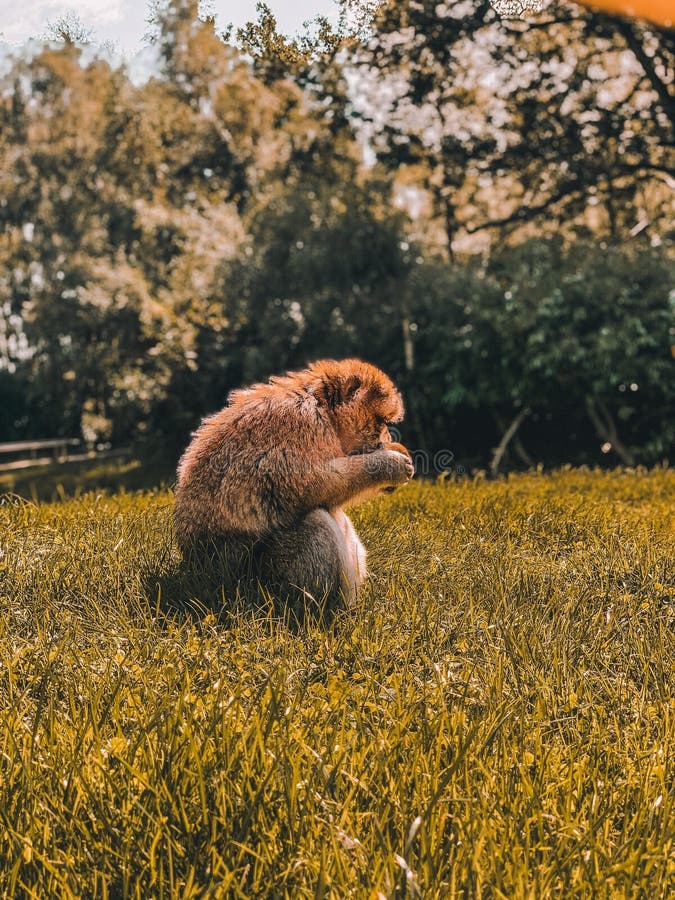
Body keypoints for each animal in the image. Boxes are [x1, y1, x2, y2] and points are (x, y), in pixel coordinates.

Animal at [174, 359, 414, 621]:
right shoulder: (300, 423)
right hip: (258, 584)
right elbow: (314, 484)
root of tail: (200, 574)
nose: (384, 439)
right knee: (316, 520)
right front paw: (389, 465)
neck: (321, 408)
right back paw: (327, 611)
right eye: (381, 422)